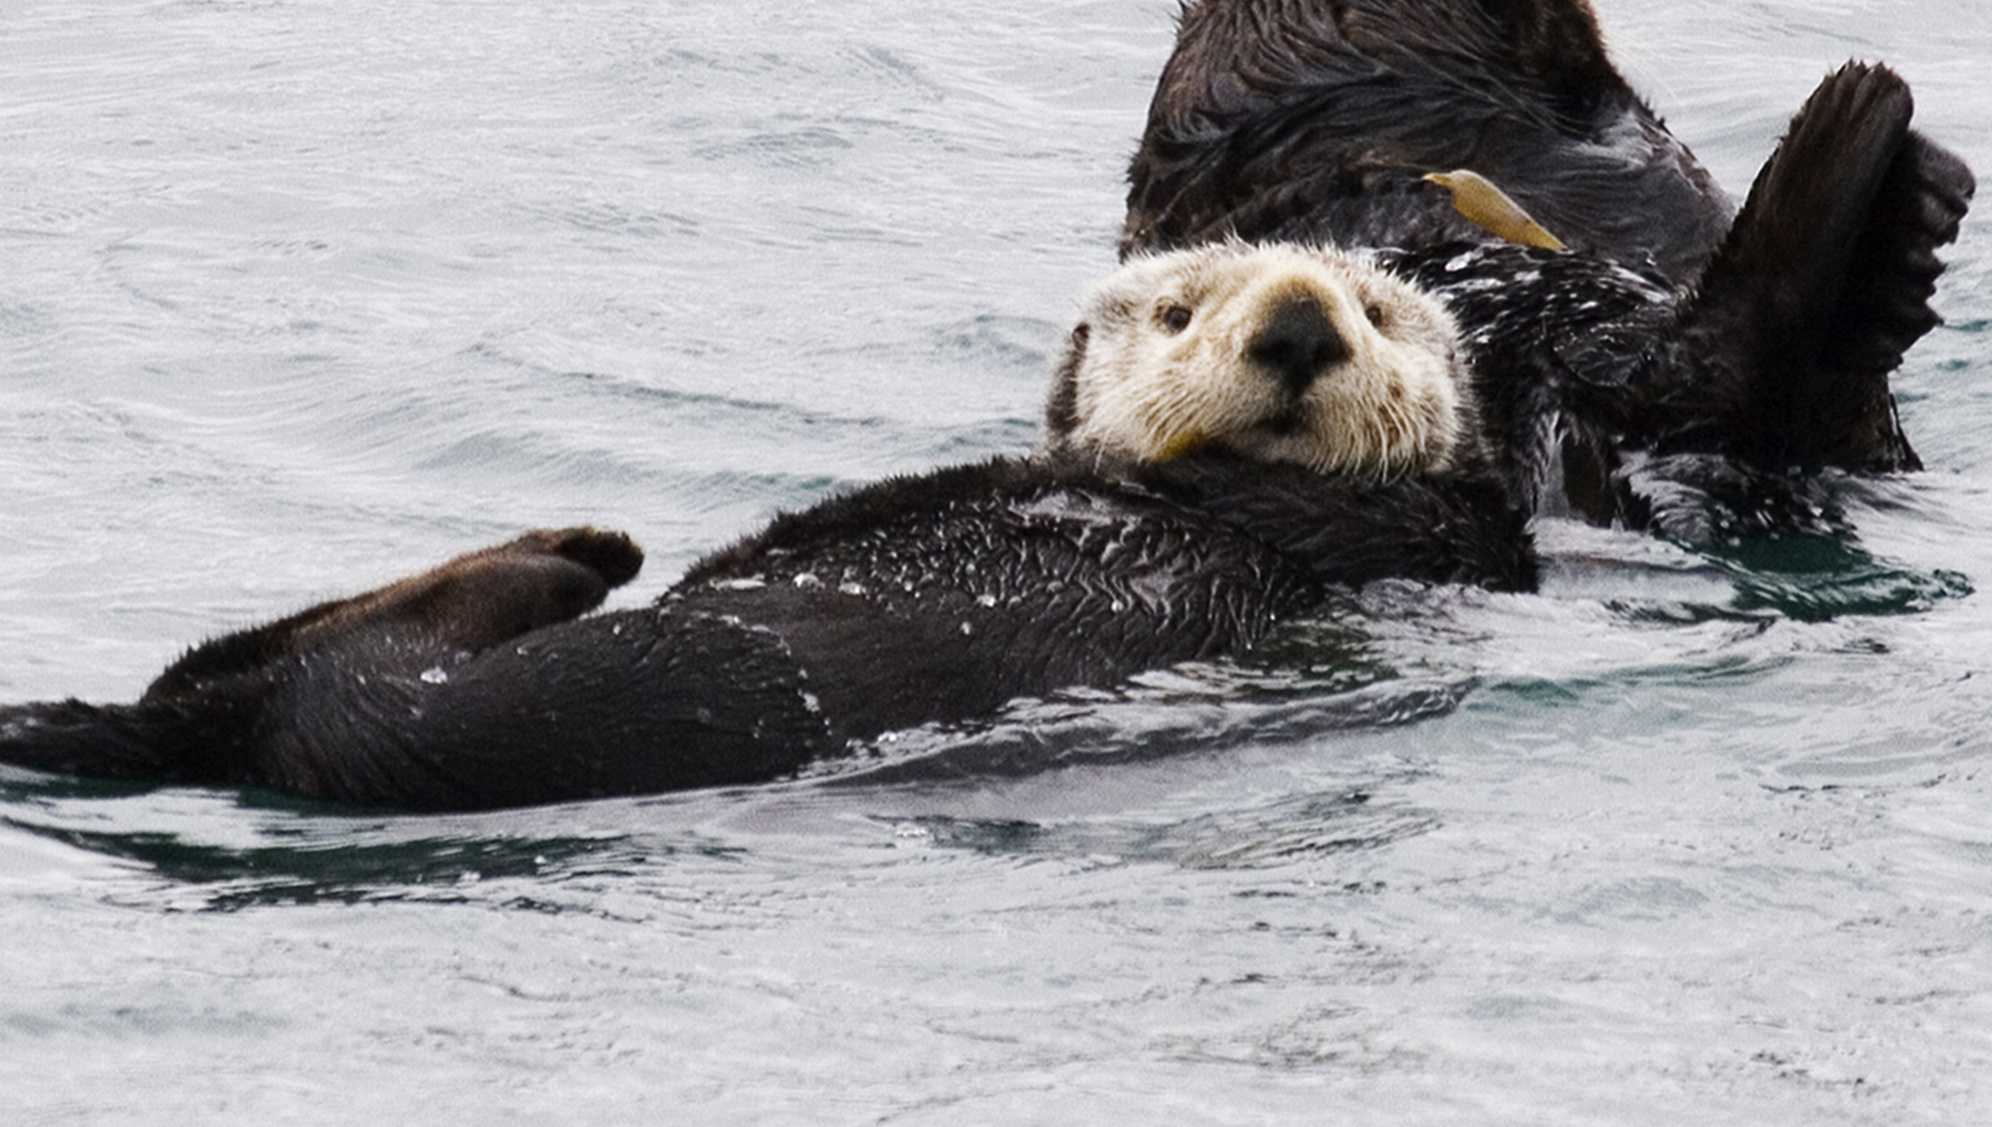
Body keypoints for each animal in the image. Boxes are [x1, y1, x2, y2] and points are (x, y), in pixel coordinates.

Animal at [0, 247, 1532, 810]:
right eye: (1176, 311)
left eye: (1377, 310)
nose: (1299, 325)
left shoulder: (1412, 532)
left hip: (428, 705)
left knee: (298, 658)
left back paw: (582, 552)